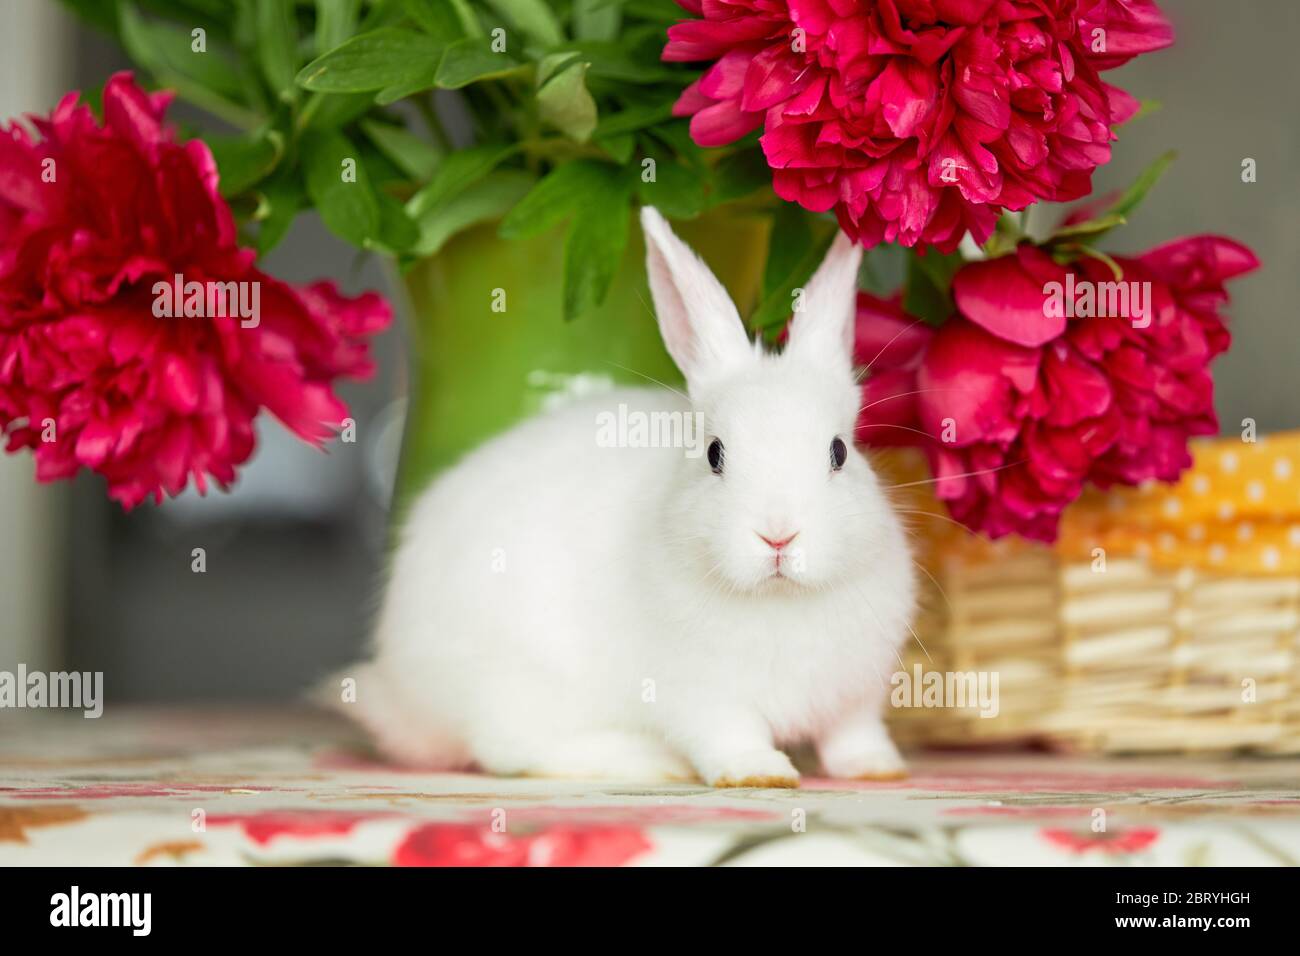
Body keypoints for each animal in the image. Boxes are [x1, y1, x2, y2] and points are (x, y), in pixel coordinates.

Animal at [341, 206, 916, 787]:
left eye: (839, 452)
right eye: (714, 454)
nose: (778, 535)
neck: (780, 600)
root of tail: (398, 687)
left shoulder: (857, 695)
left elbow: (853, 733)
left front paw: (878, 768)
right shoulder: (702, 697)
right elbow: (730, 736)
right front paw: (759, 772)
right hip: (518, 681)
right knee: (509, 748)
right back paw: (650, 762)